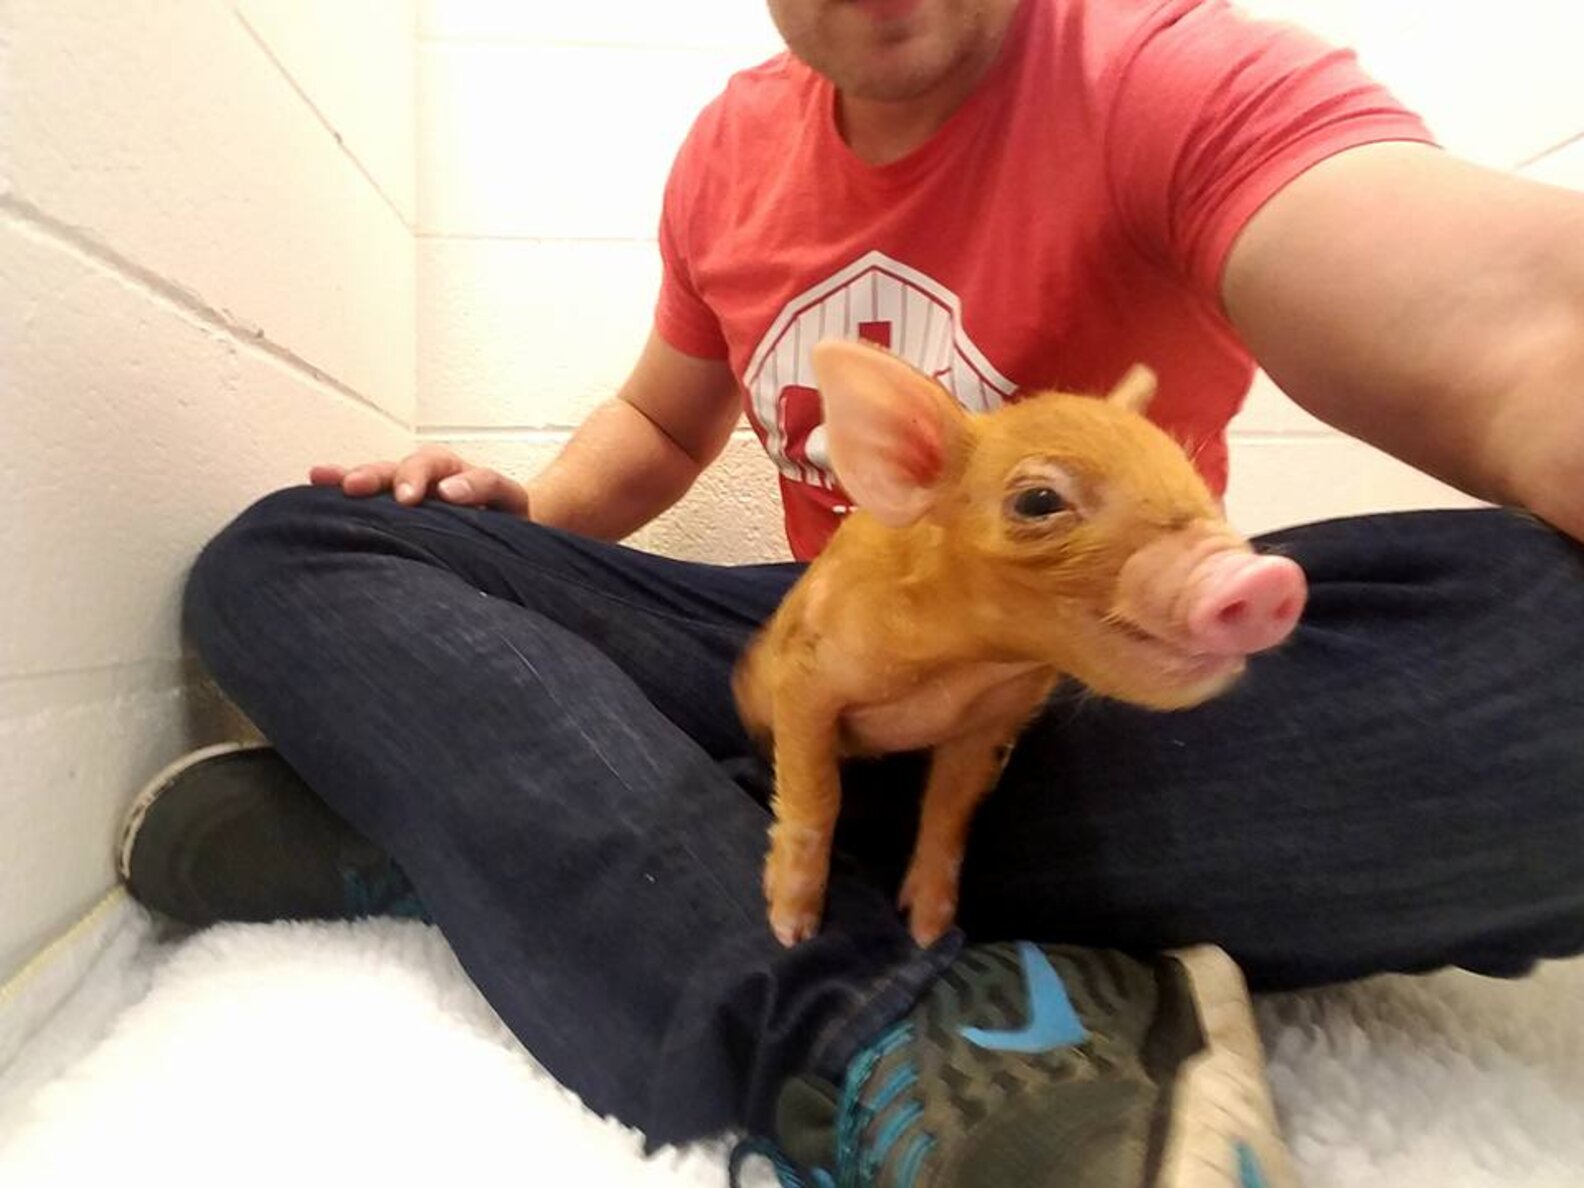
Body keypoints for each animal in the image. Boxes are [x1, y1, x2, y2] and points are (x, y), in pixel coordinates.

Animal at [733, 340, 1306, 948]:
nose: (1268, 579)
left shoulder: (988, 725)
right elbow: (816, 797)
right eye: (1037, 501)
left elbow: (948, 812)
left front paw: (929, 931)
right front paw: (791, 930)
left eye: (1187, 470)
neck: (962, 668)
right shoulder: (805, 680)